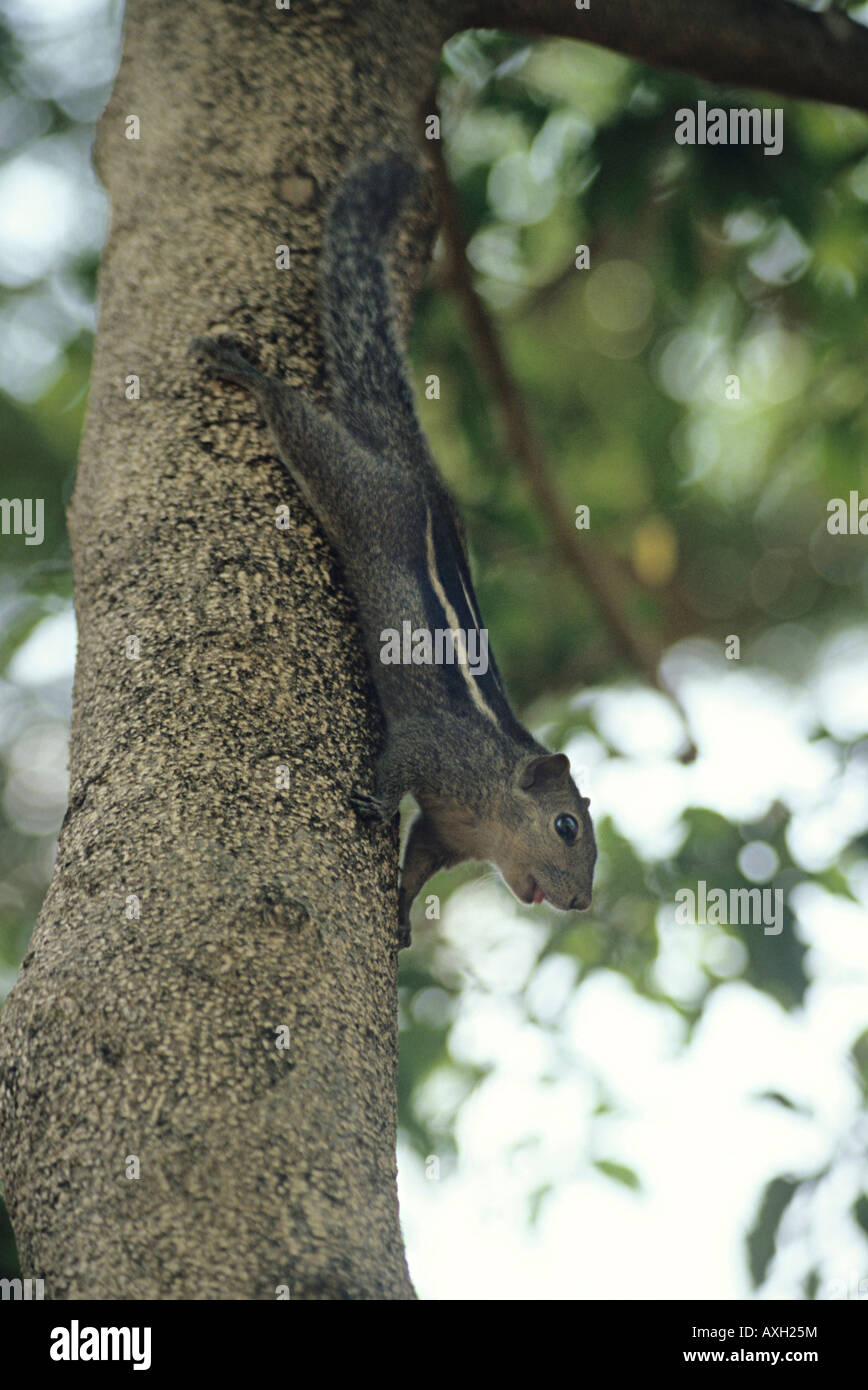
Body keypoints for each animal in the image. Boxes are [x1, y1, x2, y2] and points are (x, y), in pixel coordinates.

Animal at [192, 149, 596, 946]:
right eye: (566, 826)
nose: (580, 904)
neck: (493, 794)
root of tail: (421, 472)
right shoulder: (434, 750)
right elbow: (397, 763)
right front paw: (375, 804)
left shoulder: (445, 833)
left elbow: (416, 864)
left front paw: (404, 919)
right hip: (362, 495)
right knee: (299, 423)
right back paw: (244, 371)